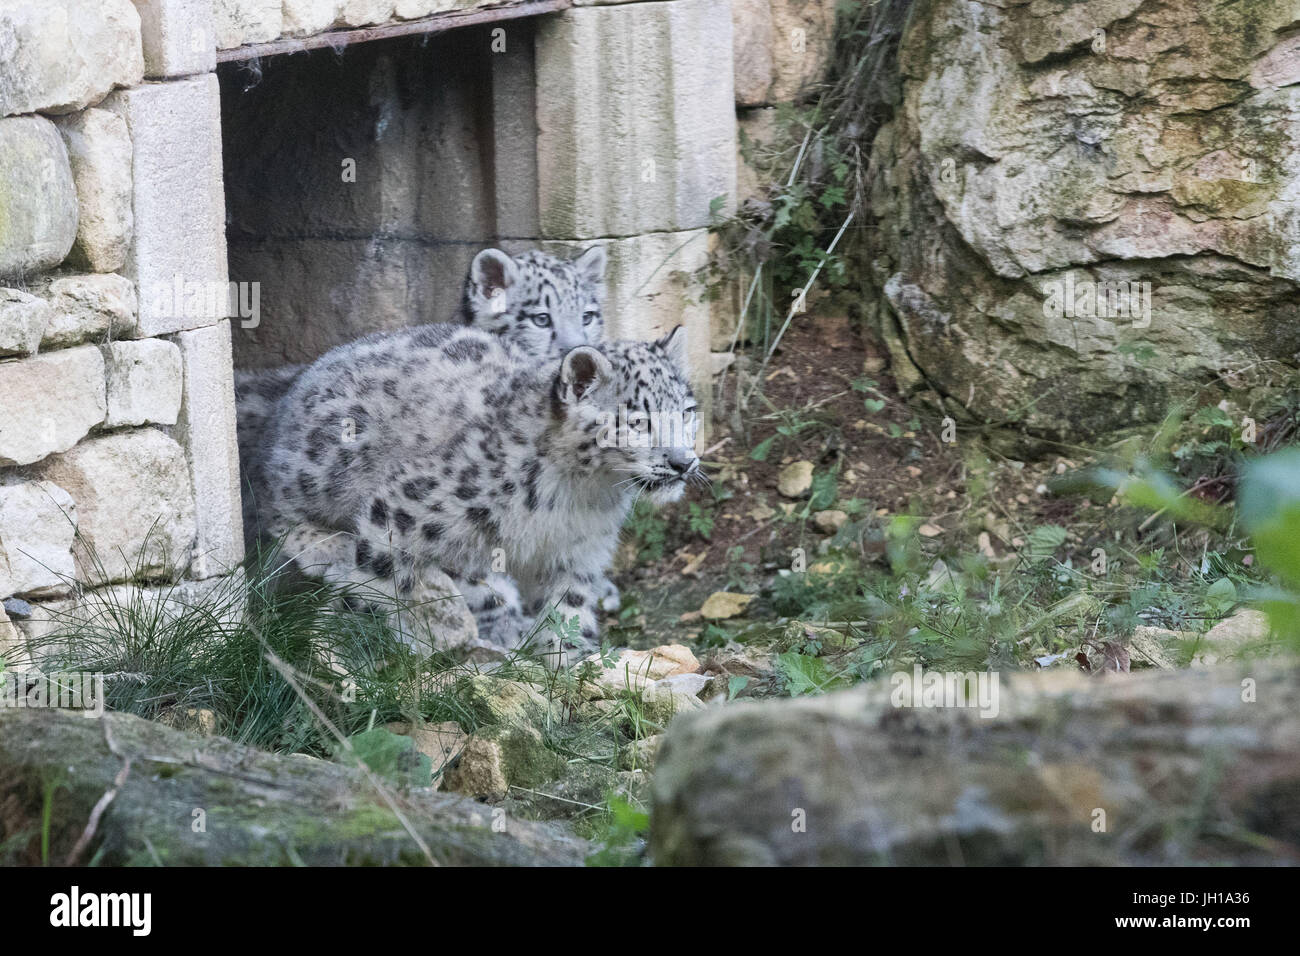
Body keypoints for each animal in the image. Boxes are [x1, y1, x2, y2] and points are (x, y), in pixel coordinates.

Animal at [259, 323, 700, 664]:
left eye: (687, 411)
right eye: (638, 422)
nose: (684, 462)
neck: (582, 491)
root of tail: (308, 374)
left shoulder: (581, 549)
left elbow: (568, 606)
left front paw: (564, 663)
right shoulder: (408, 505)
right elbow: (381, 576)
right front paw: (362, 632)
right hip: (323, 466)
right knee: (273, 500)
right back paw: (327, 546)